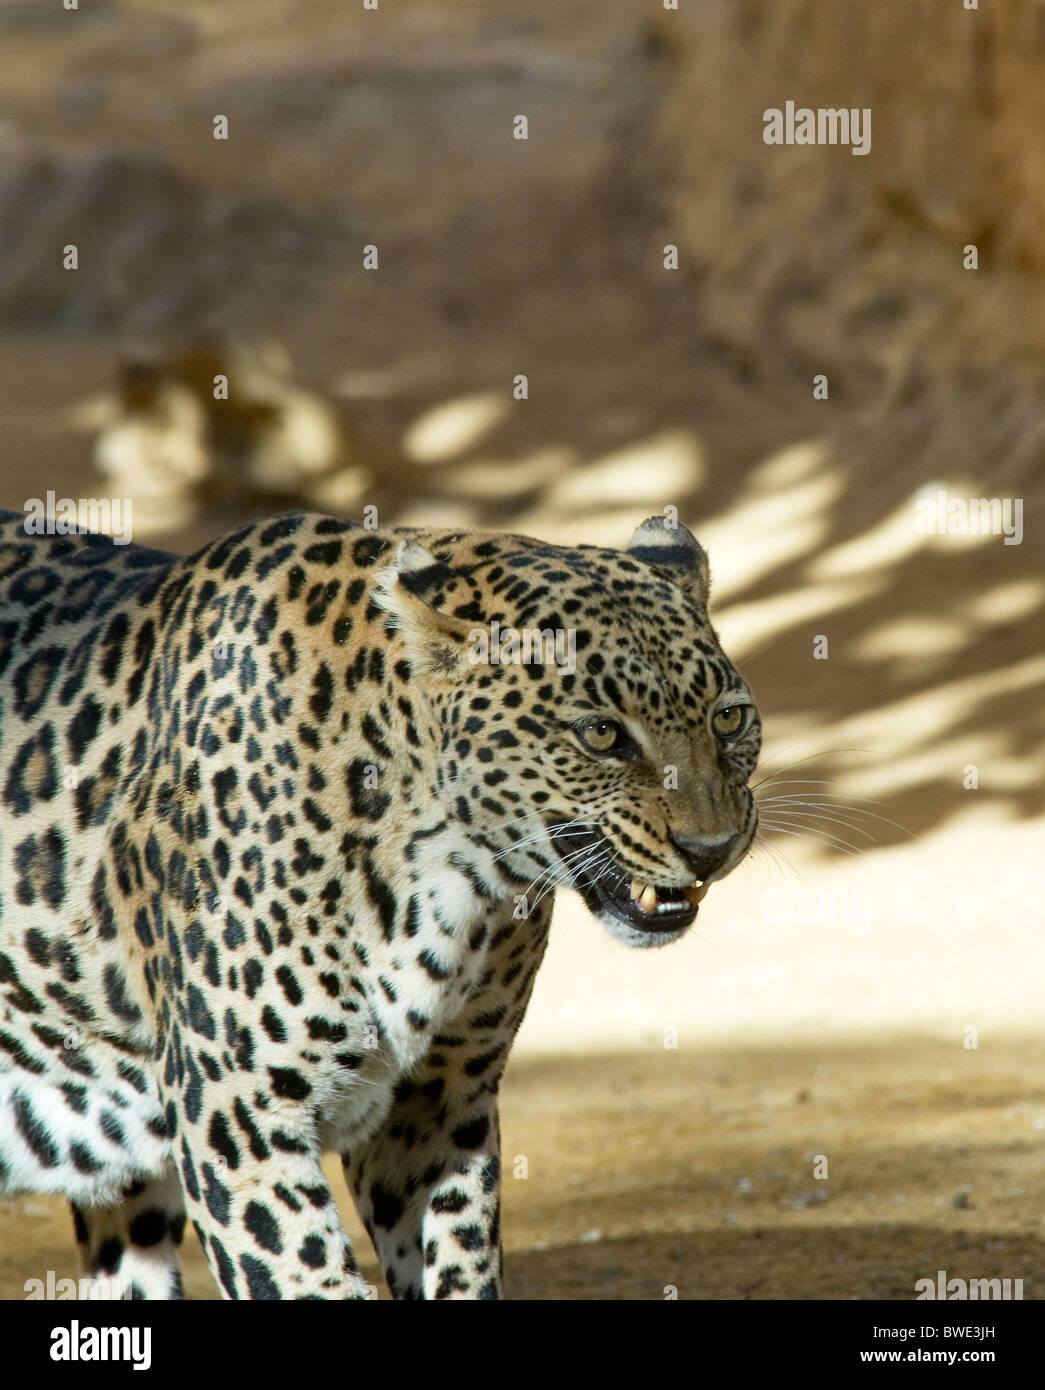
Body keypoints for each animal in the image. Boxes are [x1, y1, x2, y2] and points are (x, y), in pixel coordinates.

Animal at [0, 507, 760, 1300]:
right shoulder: (239, 1120)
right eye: (602, 733)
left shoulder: (439, 1102)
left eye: (729, 720)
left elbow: (457, 1264)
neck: (456, 876)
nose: (713, 848)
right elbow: (309, 1276)